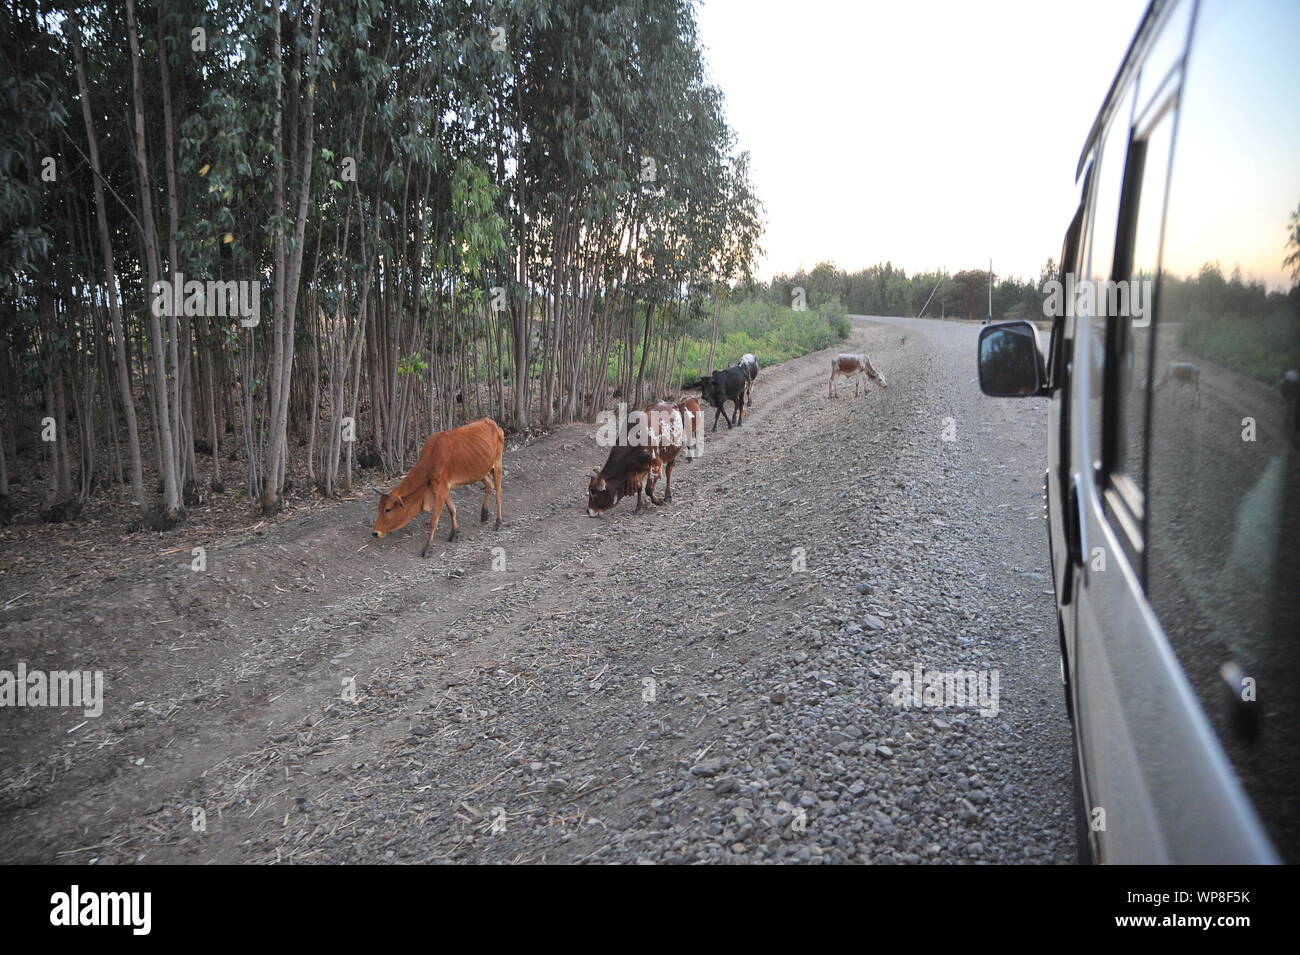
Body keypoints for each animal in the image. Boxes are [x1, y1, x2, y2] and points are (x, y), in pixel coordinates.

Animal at [372, 417, 505, 558]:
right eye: (379, 508)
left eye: (387, 509)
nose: (375, 533)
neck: (431, 459)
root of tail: (492, 423)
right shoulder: (444, 488)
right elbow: (452, 510)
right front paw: (454, 534)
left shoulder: (441, 489)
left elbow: (434, 520)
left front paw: (427, 548)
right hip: (480, 471)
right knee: (490, 485)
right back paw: (484, 514)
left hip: (497, 465)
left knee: (499, 493)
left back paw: (498, 523)